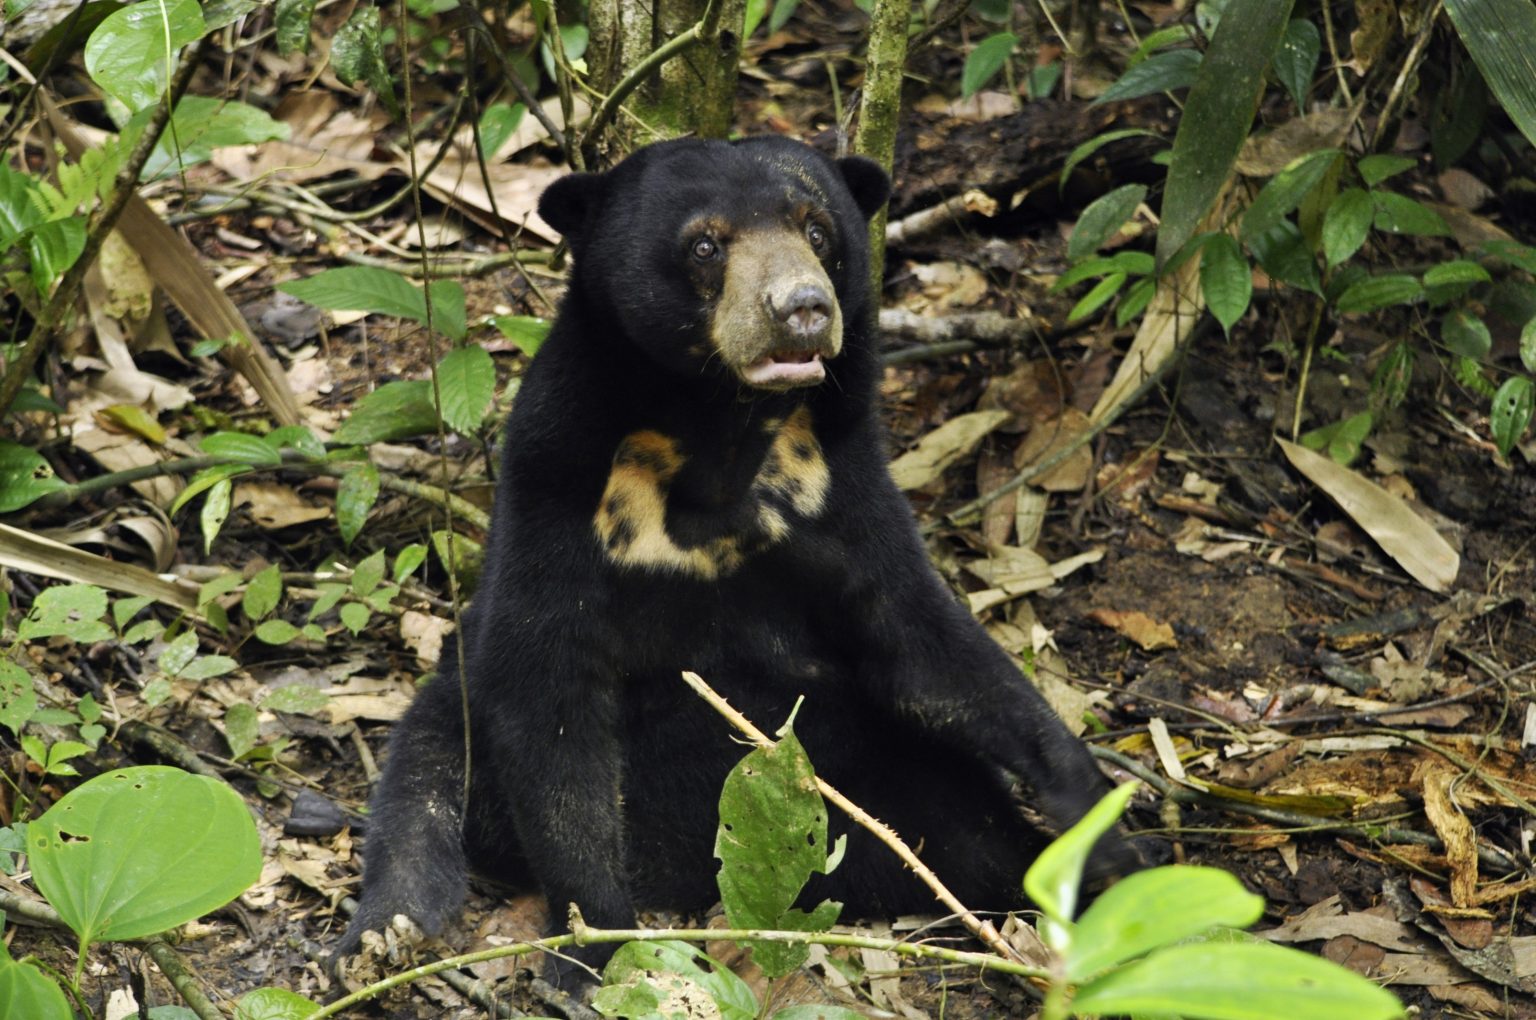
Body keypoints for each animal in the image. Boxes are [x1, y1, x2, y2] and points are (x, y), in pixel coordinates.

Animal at [337, 135, 1134, 982]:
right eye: (704, 245)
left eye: (817, 229)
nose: (804, 308)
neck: (721, 427)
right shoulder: (559, 481)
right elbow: (549, 697)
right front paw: (598, 946)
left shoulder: (839, 484)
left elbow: (924, 643)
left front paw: (1100, 826)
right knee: (427, 763)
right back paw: (388, 930)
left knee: (964, 827)